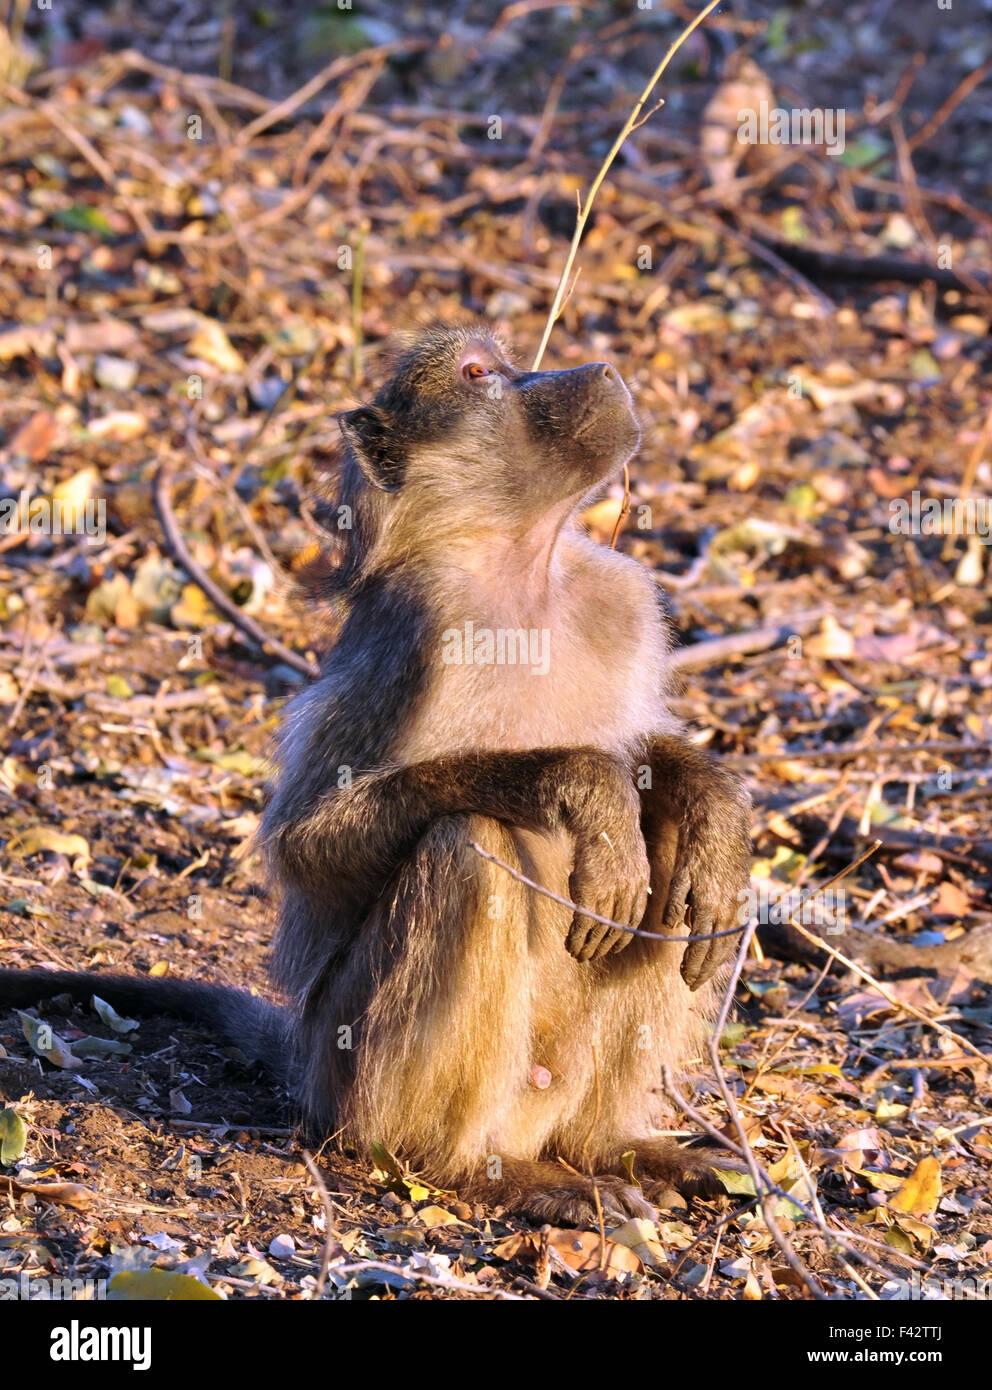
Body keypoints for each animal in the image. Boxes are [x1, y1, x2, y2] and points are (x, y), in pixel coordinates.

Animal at [0, 324, 752, 1225]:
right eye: (479, 373)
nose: (597, 370)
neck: (521, 567)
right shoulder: (420, 627)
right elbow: (309, 846)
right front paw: (579, 786)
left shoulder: (625, 597)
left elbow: (652, 769)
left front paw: (710, 805)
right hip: (352, 1072)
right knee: (470, 847)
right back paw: (483, 1171)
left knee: (667, 870)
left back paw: (610, 1146)